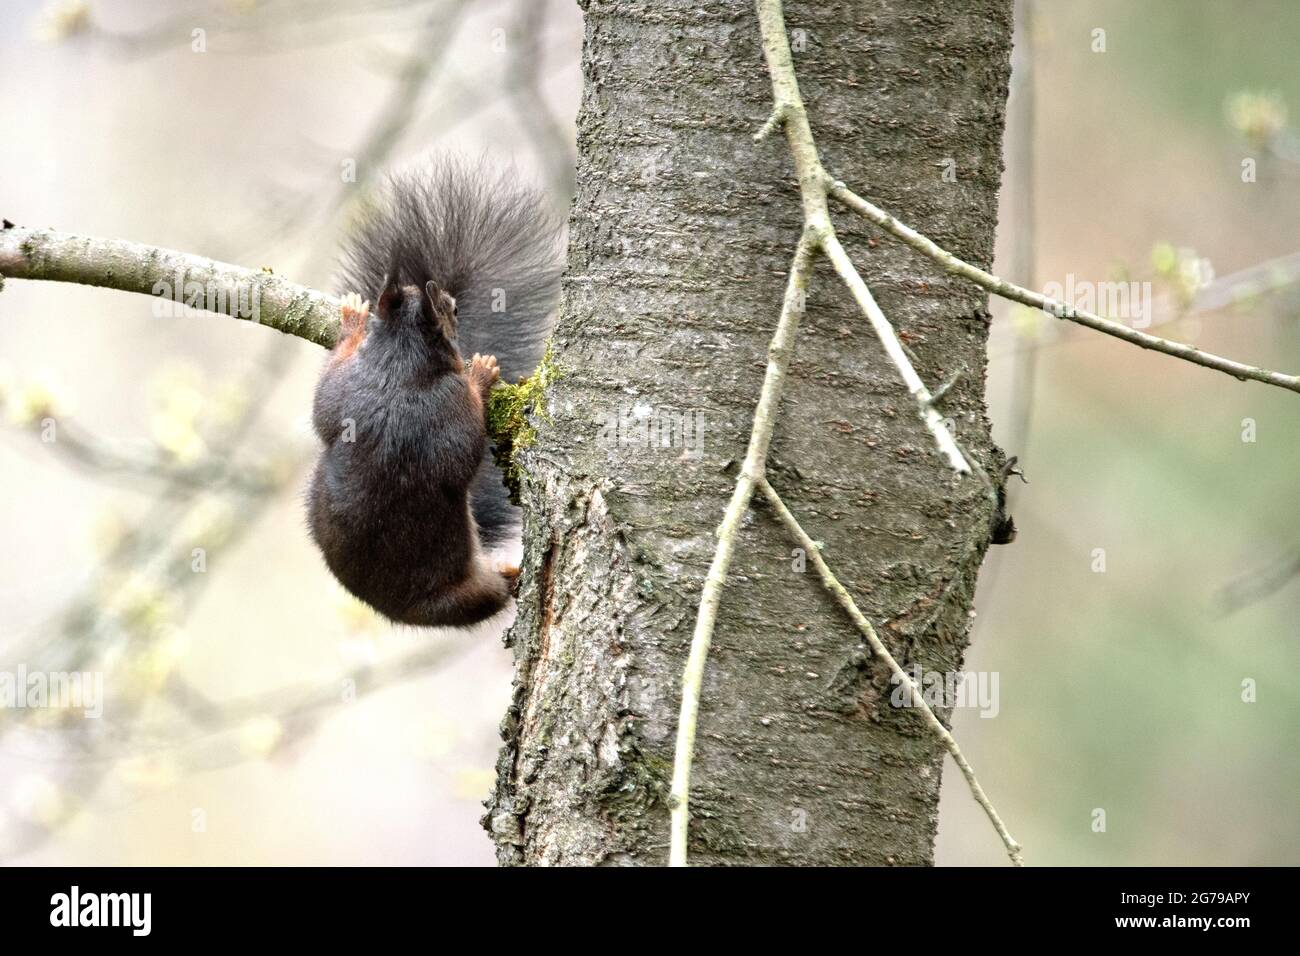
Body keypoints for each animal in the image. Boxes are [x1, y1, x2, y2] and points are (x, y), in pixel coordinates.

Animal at [307, 158, 562, 627]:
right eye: (453, 308)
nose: (447, 294)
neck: (398, 366)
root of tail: (391, 609)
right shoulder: (449, 407)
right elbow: (464, 451)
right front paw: (480, 374)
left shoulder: (345, 388)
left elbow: (324, 399)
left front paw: (352, 321)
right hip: (465, 593)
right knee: (493, 595)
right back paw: (512, 576)